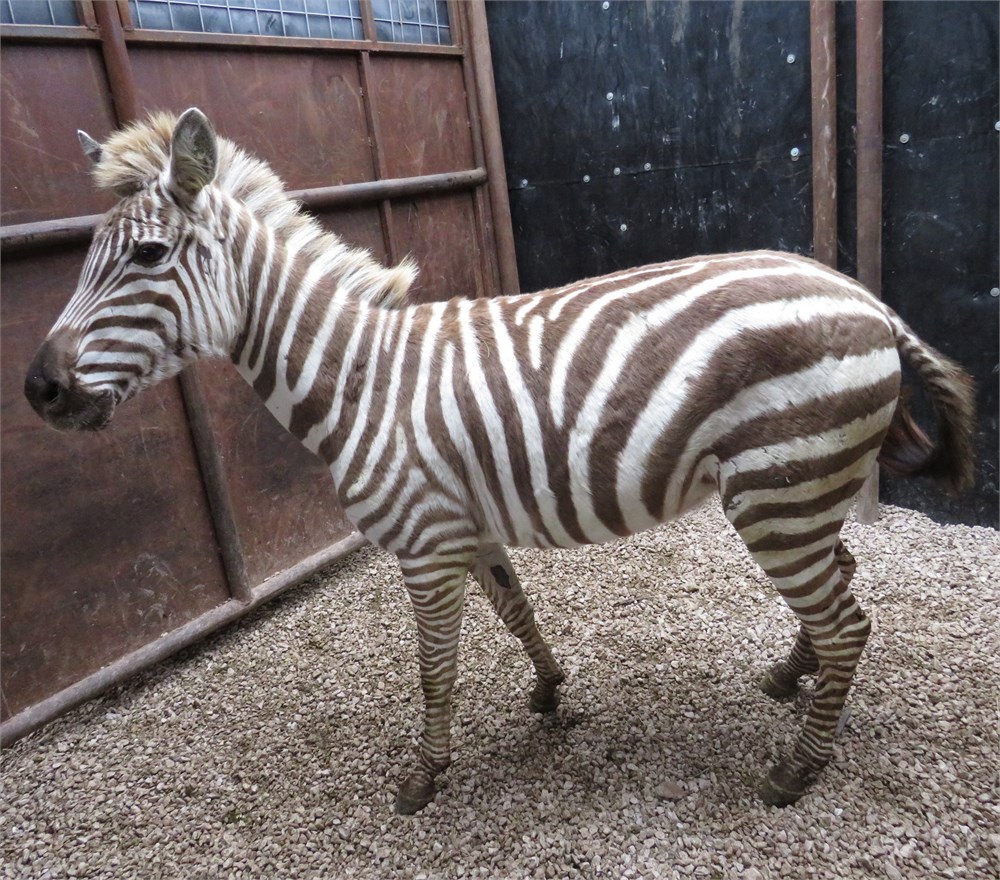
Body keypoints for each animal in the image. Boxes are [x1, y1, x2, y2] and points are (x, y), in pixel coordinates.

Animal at [25, 109, 976, 814]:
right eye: (86, 257)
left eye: (148, 255)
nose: (38, 390)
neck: (360, 378)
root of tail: (867, 298)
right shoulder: (462, 524)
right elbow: (517, 613)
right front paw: (551, 692)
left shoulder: (420, 544)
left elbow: (434, 669)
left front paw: (423, 777)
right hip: (803, 485)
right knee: (841, 583)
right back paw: (791, 676)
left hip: (779, 488)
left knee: (848, 621)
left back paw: (795, 770)